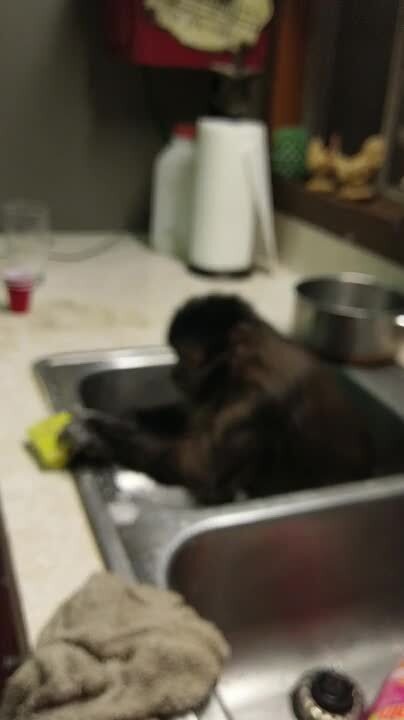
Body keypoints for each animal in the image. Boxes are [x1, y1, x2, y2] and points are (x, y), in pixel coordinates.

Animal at [69, 294, 378, 505]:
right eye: (175, 355)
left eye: (185, 358)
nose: (173, 372)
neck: (241, 368)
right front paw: (129, 418)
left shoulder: (252, 404)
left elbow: (202, 471)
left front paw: (101, 435)